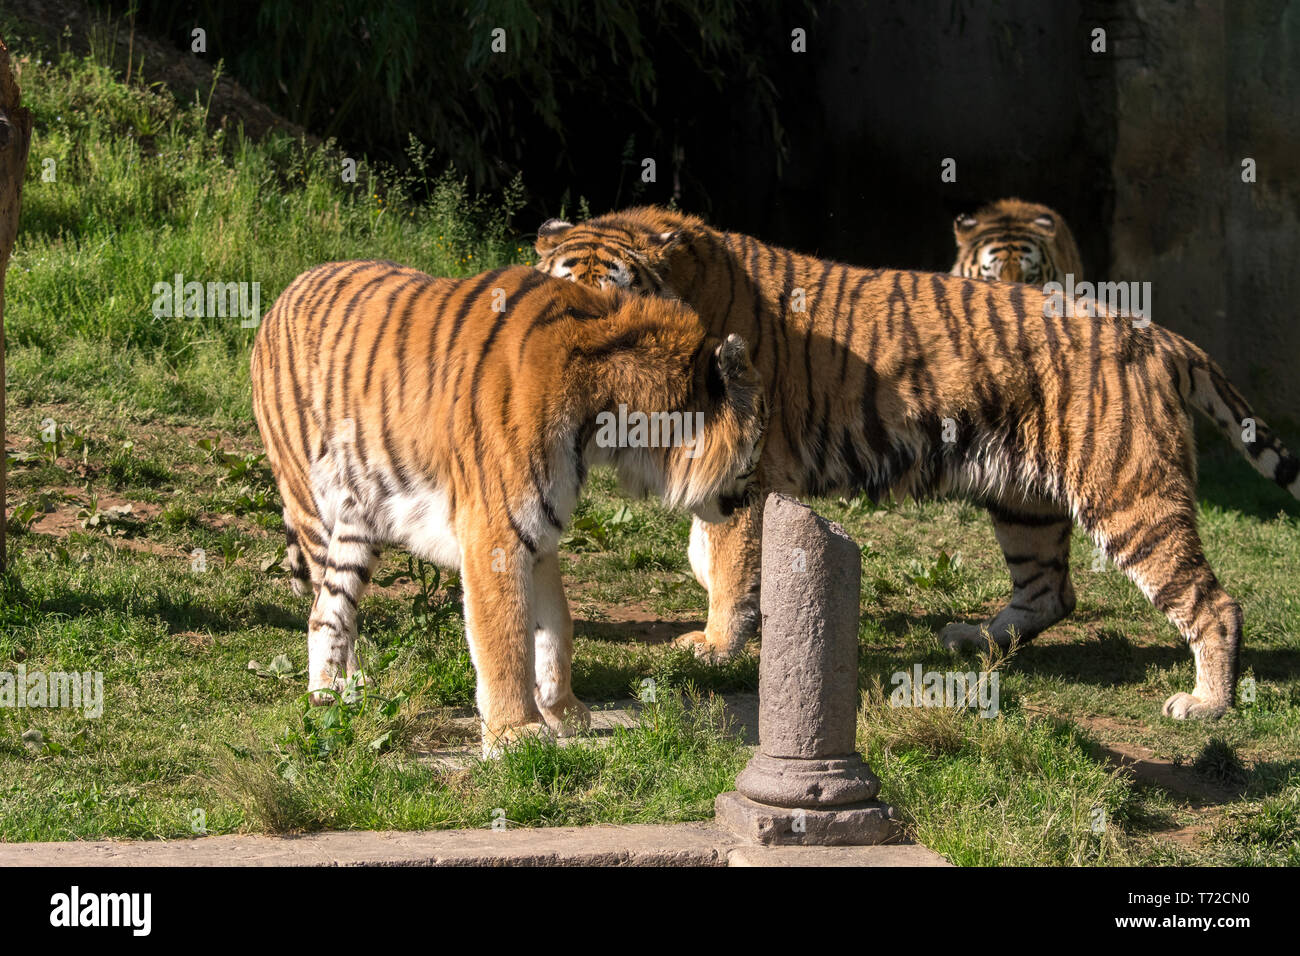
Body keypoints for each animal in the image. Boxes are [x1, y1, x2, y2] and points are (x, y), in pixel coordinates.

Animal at [250, 261, 766, 754]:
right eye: (760, 437)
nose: (758, 499)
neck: (608, 425)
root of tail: (279, 299)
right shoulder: (495, 533)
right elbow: (506, 637)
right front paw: (515, 733)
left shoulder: (539, 530)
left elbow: (555, 624)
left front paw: (563, 710)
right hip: (313, 506)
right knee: (325, 599)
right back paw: (342, 692)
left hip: (361, 518)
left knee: (327, 612)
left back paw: (337, 695)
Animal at [535, 206, 1300, 720]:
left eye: (618, 293)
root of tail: (1157, 333)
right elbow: (708, 551)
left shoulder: (741, 466)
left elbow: (726, 558)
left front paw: (717, 642)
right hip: (1024, 499)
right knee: (1050, 591)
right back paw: (972, 638)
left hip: (1128, 491)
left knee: (1212, 602)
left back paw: (1205, 704)